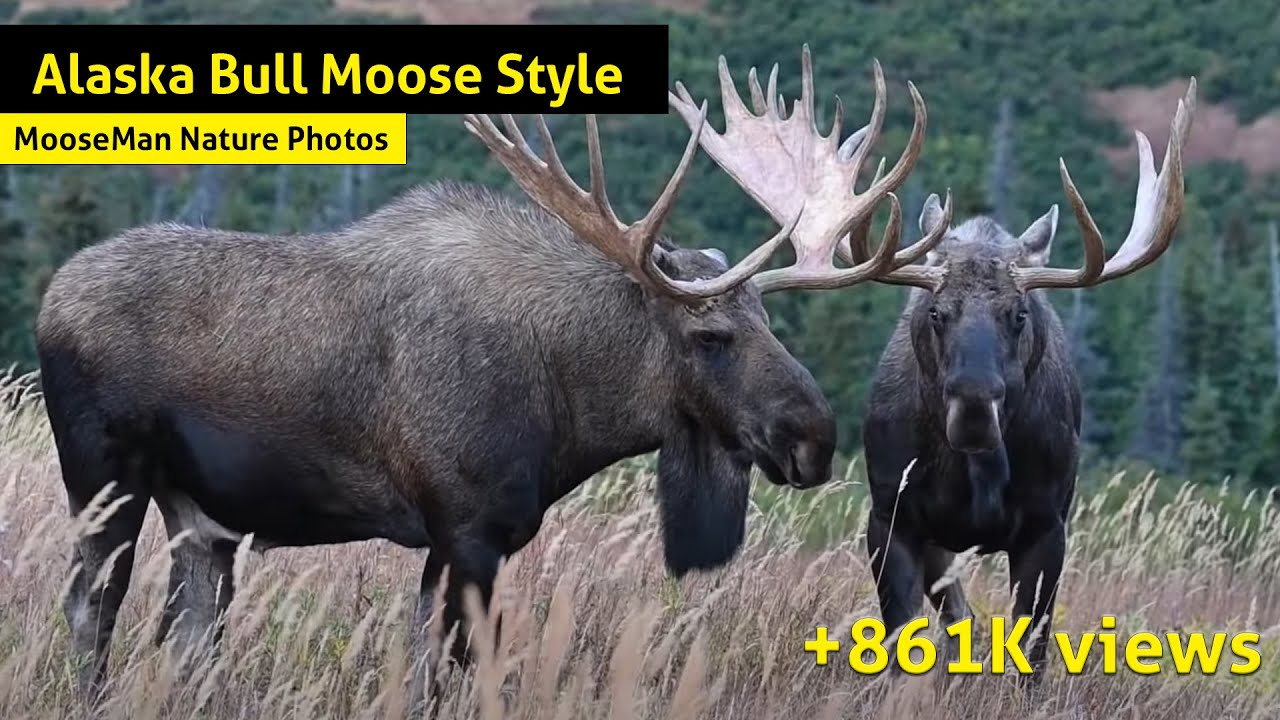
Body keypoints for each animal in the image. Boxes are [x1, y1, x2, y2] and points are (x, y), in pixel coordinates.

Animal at [35, 45, 946, 705]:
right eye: (712, 334)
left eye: (771, 323)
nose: (813, 439)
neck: (572, 403)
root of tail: (49, 300)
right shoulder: (466, 526)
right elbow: (448, 674)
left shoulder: (466, 539)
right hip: (103, 476)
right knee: (91, 609)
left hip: (200, 519)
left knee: (187, 638)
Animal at [850, 78, 1196, 677]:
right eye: (935, 312)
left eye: (1019, 314)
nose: (973, 408)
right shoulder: (890, 516)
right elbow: (899, 642)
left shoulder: (1048, 525)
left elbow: (1030, 650)